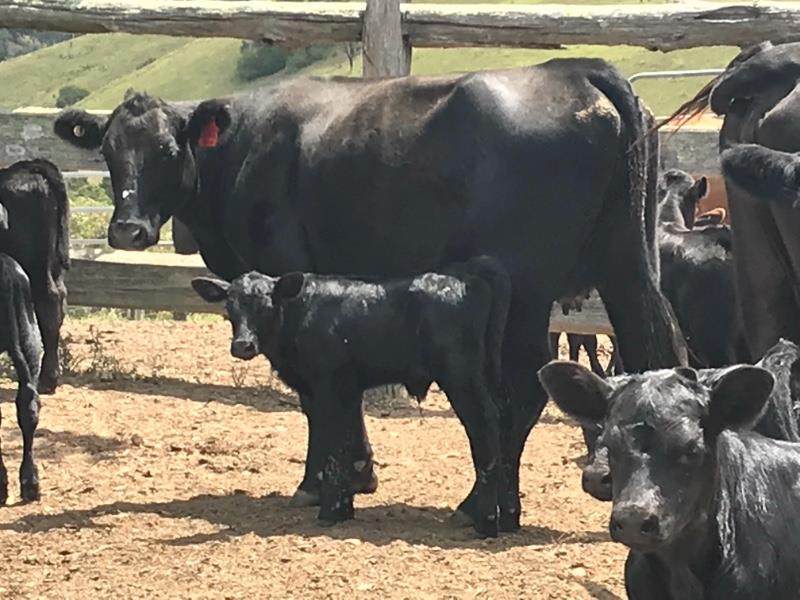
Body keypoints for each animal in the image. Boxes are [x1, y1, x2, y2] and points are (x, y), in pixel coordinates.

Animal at [192, 256, 511, 536]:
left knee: (483, 424)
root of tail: (468, 277)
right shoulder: (332, 389)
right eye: (229, 306)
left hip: (460, 377)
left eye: (266, 304)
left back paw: (484, 520)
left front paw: (332, 509)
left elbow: (335, 442)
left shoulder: (330, 386)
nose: (242, 345)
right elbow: (335, 435)